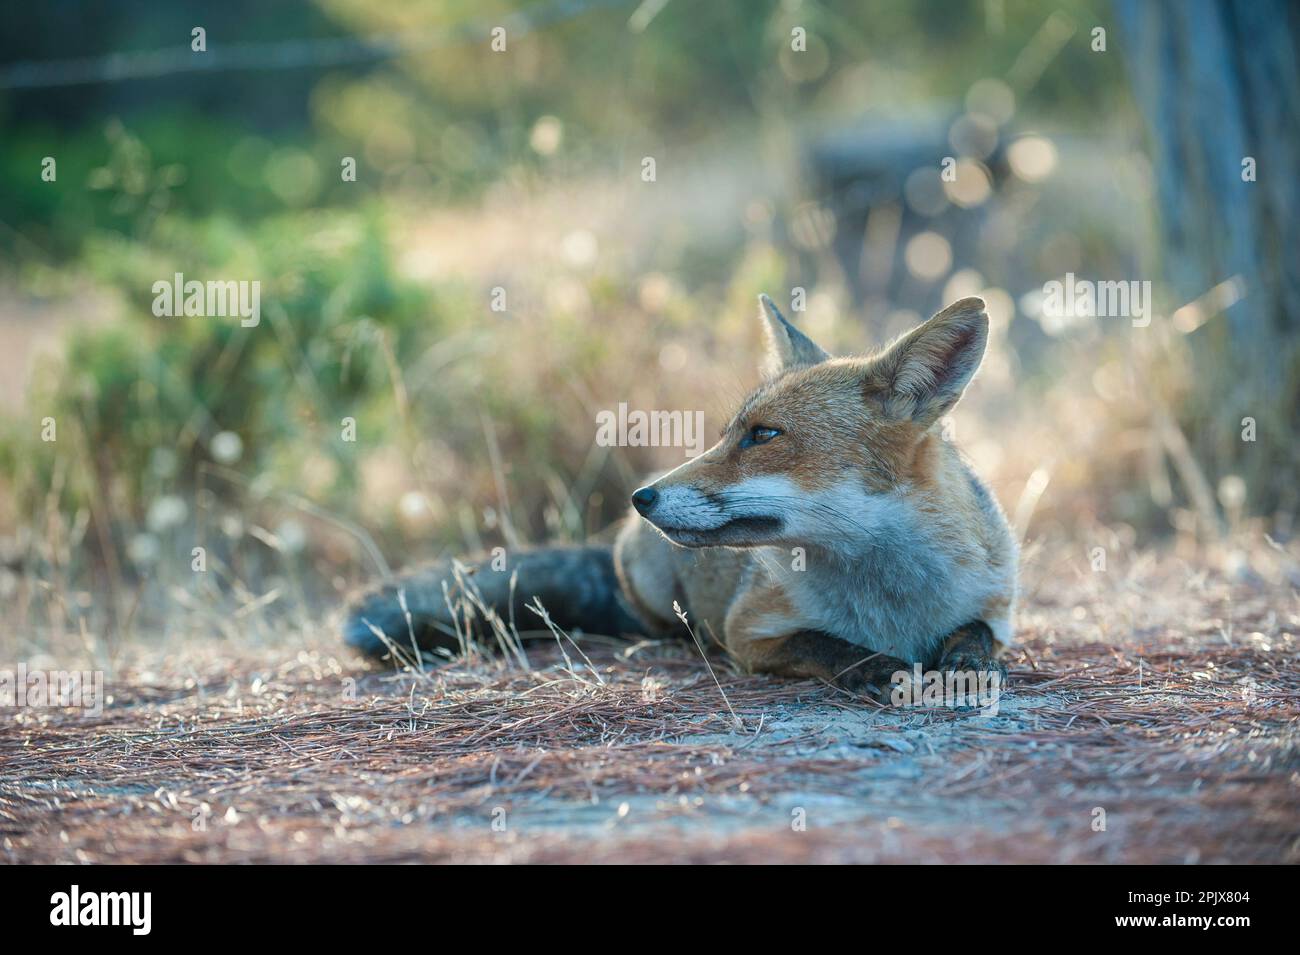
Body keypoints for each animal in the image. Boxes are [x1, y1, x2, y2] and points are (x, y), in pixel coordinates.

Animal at [342, 294, 1017, 702]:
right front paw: (873, 664)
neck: (891, 602)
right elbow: (821, 644)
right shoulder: (748, 632)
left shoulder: (1000, 603)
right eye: (724, 433)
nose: (642, 497)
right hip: (651, 586)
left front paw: (965, 663)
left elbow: (977, 631)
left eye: (762, 435)